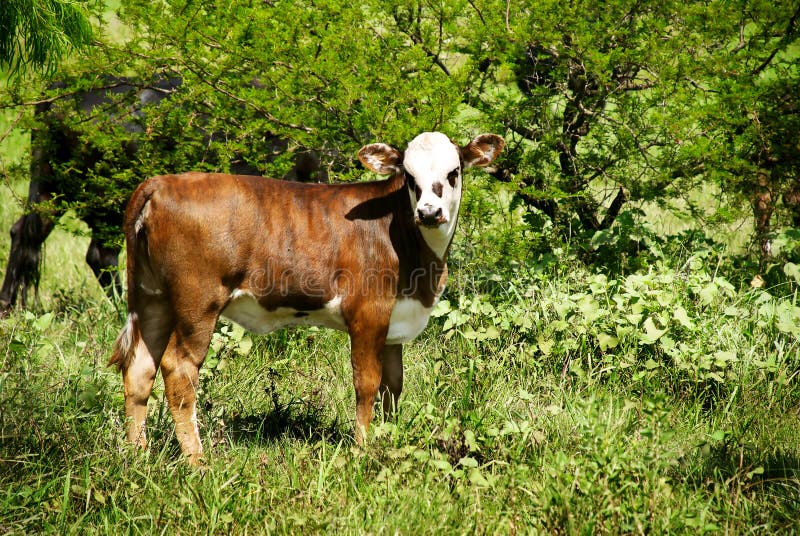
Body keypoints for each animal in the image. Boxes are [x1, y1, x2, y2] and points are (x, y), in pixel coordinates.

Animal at [109, 131, 504, 463]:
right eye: (409, 176)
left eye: (454, 172)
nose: (429, 212)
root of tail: (161, 182)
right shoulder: (368, 312)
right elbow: (367, 383)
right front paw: (363, 448)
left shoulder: (394, 322)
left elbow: (393, 386)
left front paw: (389, 438)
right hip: (197, 301)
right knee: (179, 369)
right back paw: (197, 462)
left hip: (151, 297)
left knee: (140, 368)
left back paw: (136, 455)